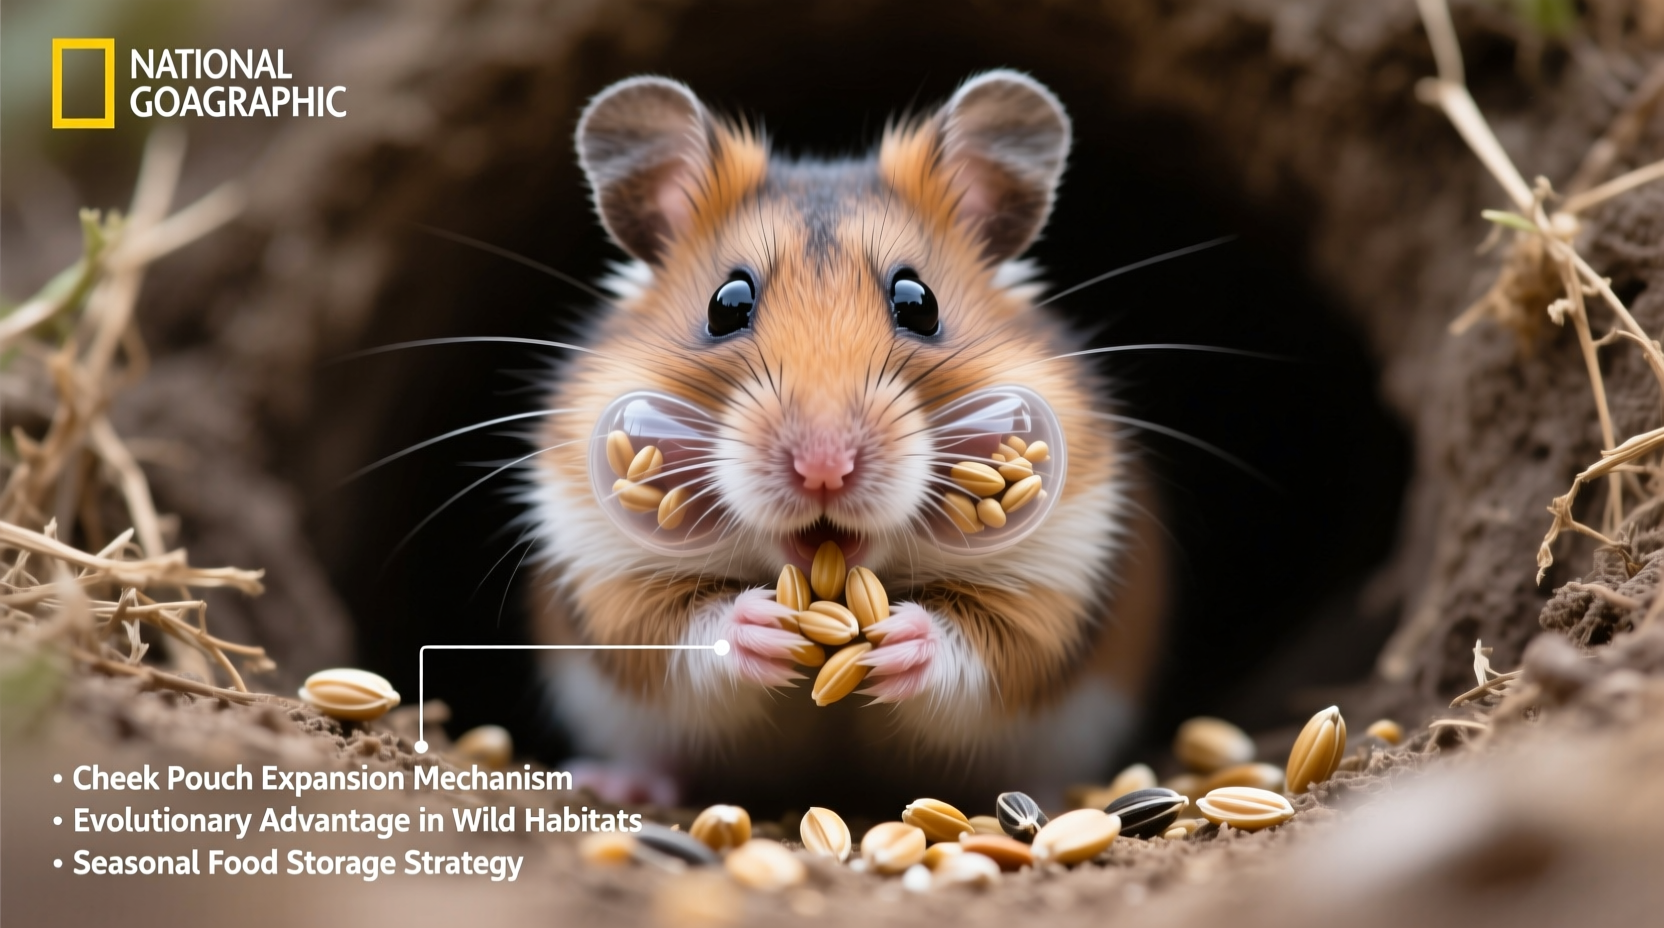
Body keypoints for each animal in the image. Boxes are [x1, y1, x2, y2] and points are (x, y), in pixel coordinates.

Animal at [523, 71, 1165, 809]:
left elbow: (989, 648)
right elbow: (667, 632)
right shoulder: (602, 565)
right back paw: (617, 782)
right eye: (726, 305)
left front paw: (893, 638)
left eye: (919, 303)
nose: (824, 468)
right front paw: (765, 627)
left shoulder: (1057, 572)